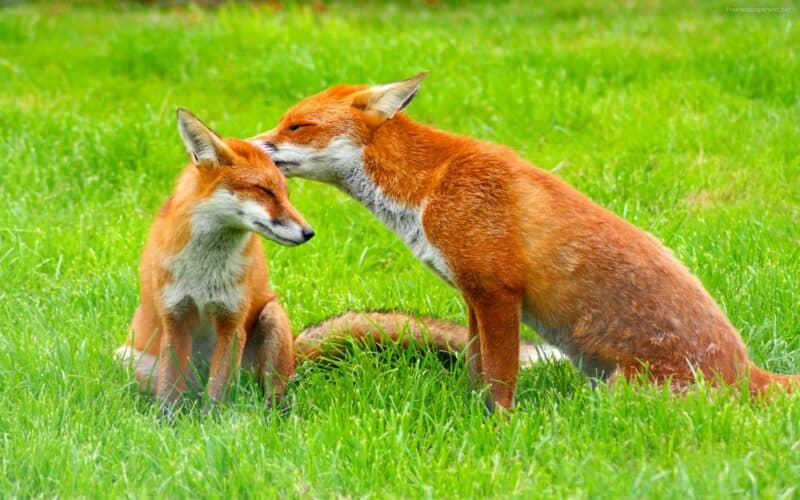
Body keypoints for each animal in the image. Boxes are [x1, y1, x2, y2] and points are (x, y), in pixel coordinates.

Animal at [250, 71, 799, 410]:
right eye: (283, 121)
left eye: (296, 125)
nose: (244, 146)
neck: (428, 188)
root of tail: (749, 373)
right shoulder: (472, 295)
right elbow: (476, 369)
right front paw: (470, 415)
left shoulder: (498, 291)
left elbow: (501, 379)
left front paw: (499, 427)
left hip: (620, 391)